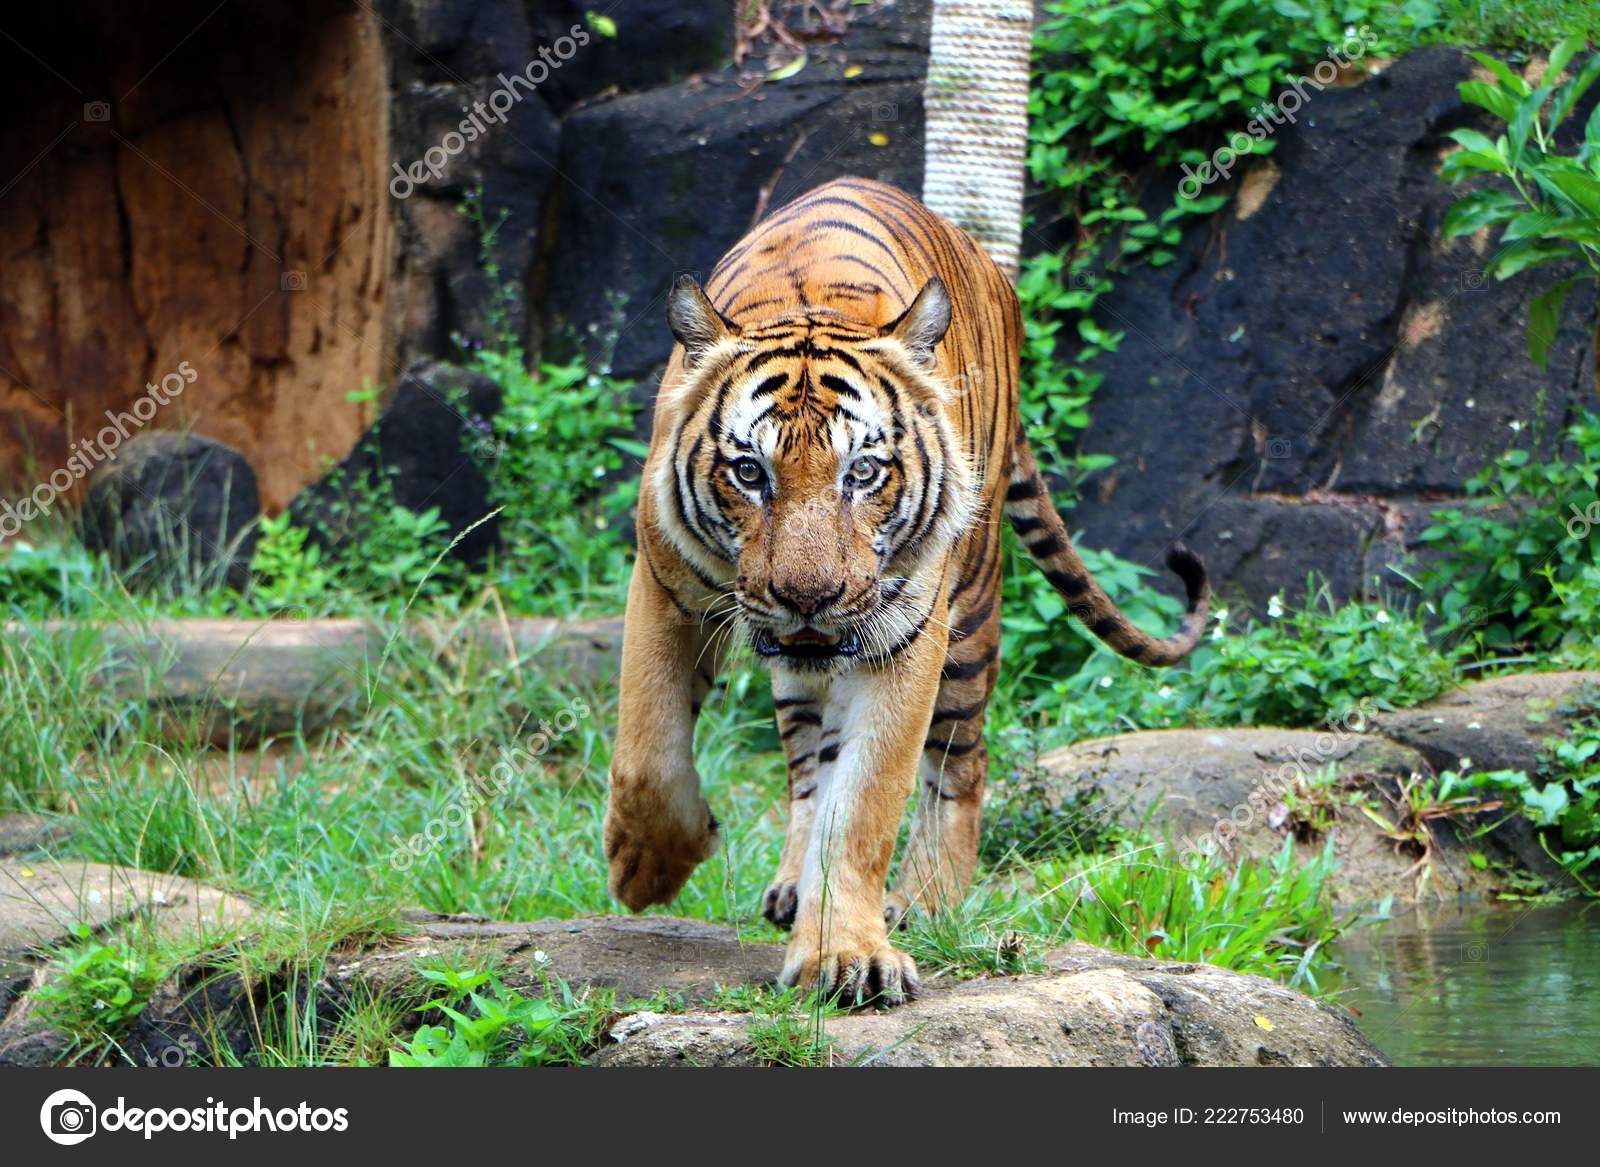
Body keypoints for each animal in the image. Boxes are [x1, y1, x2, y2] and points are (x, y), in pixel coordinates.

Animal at [603, 176, 1209, 1006]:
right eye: (749, 472)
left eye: (863, 472)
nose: (810, 596)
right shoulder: (665, 587)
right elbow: (648, 751)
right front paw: (649, 870)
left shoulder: (905, 637)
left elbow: (866, 801)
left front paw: (845, 954)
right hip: (802, 672)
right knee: (806, 764)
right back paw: (794, 883)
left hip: (971, 619)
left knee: (962, 766)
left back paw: (926, 900)